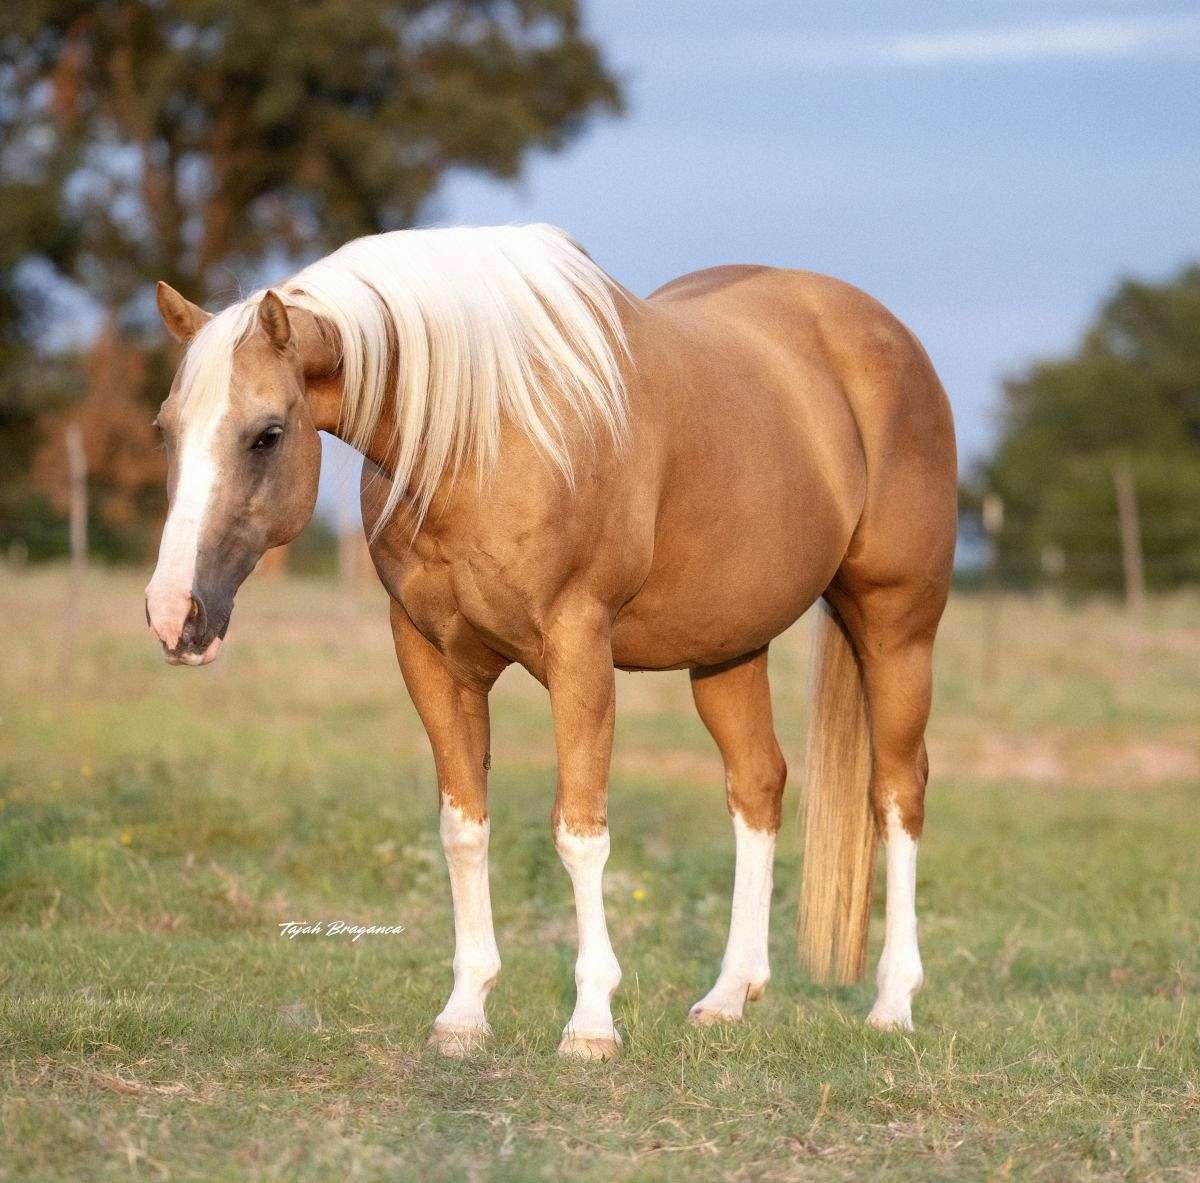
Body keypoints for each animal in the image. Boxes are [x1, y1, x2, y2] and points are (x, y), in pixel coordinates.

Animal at [145, 224, 956, 1059]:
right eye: (165, 430)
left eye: (267, 434)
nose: (174, 614)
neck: (486, 433)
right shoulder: (429, 656)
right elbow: (464, 828)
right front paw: (464, 1012)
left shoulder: (579, 652)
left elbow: (579, 831)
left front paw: (591, 1023)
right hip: (729, 648)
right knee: (758, 785)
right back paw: (729, 994)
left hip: (897, 626)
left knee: (898, 791)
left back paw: (893, 1002)